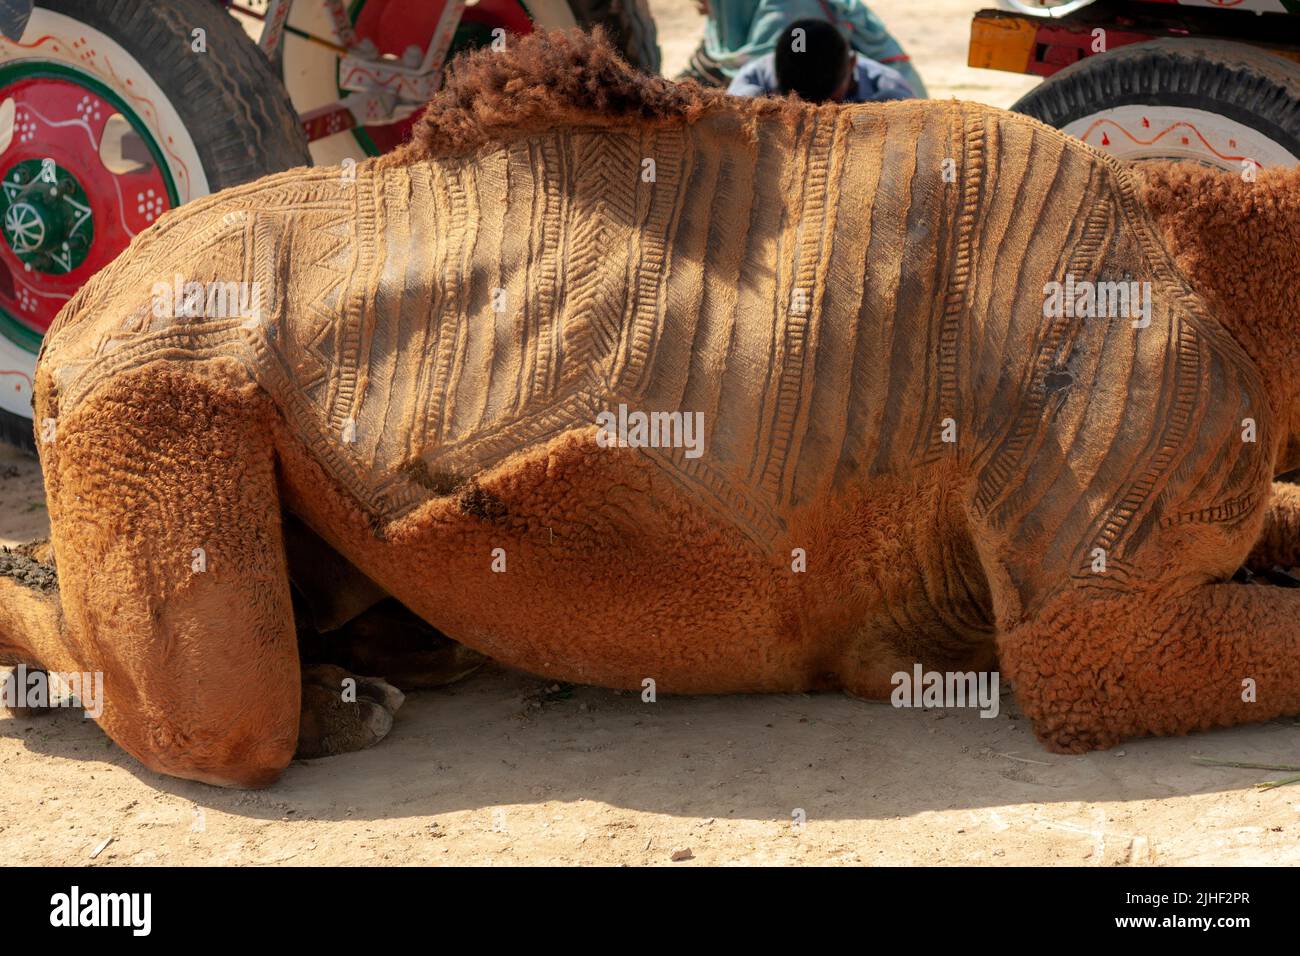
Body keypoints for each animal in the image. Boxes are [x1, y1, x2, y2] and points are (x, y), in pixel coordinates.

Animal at [1, 29, 1298, 787]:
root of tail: (77, 318)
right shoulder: (1097, 605)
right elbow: (1099, 649)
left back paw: (392, 662)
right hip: (154, 377)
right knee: (224, 711)